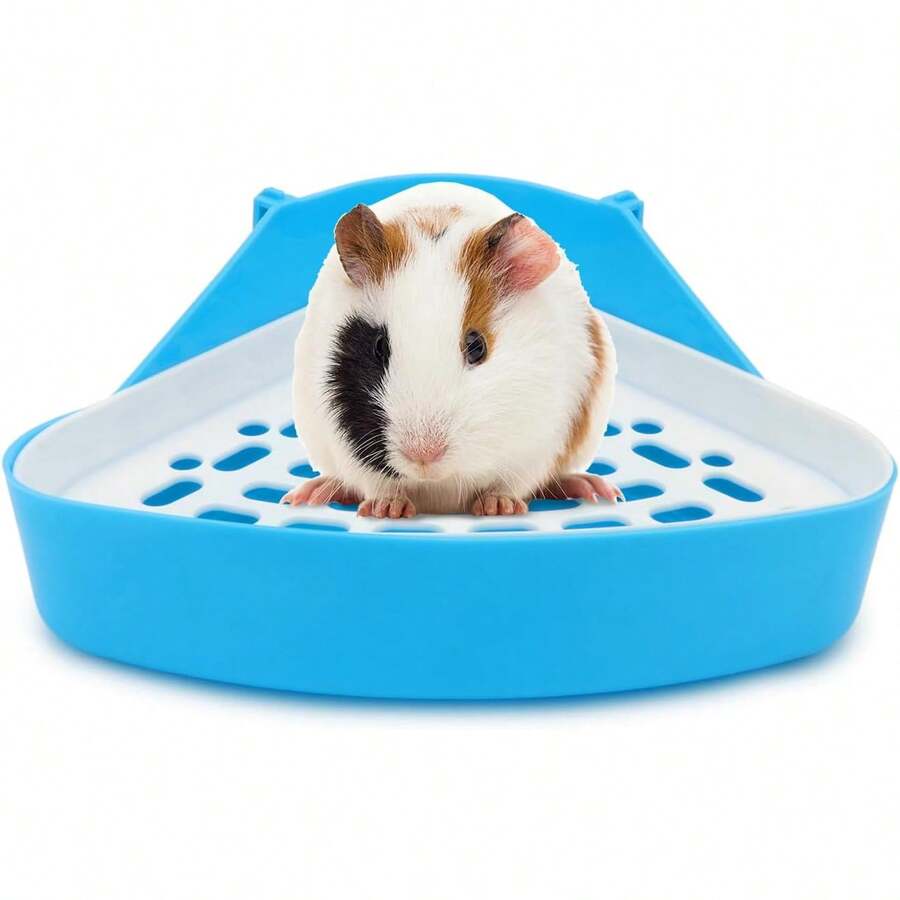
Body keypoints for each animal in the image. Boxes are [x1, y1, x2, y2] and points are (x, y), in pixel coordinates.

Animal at [283, 181, 619, 518]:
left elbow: (511, 484)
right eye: (379, 347)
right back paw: (310, 494)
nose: (423, 454)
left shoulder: (539, 443)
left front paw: (499, 508)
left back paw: (593, 488)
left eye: (477, 345)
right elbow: (377, 485)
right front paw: (387, 510)